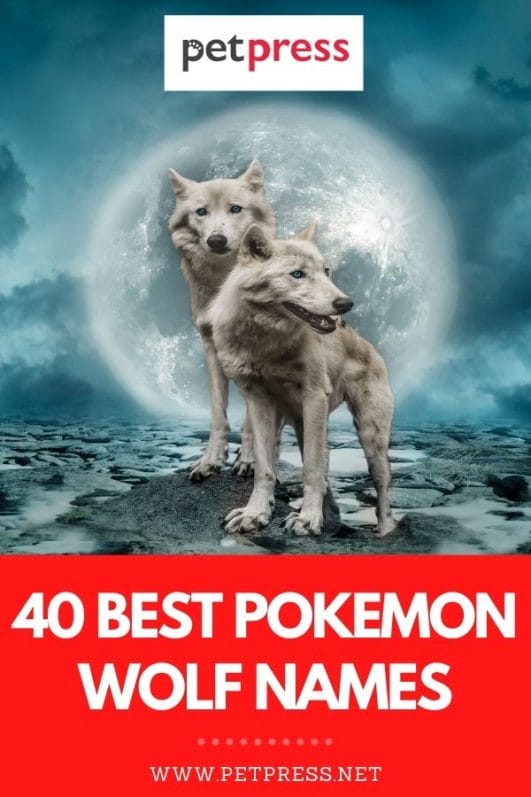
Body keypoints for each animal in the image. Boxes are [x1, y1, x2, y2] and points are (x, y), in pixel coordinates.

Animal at [168, 161, 276, 480]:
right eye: (201, 211)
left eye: (235, 209)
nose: (216, 240)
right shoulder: (210, 347)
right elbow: (218, 413)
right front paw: (210, 461)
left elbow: (253, 421)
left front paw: (250, 461)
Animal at [208, 224, 396, 537]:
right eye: (297, 274)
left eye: (327, 271)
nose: (345, 304)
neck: (267, 345)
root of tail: (367, 343)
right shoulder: (257, 400)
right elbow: (265, 467)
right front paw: (255, 514)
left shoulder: (314, 397)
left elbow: (311, 469)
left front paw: (307, 519)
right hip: (300, 425)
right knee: (325, 474)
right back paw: (329, 516)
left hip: (370, 434)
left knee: (381, 483)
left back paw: (384, 530)